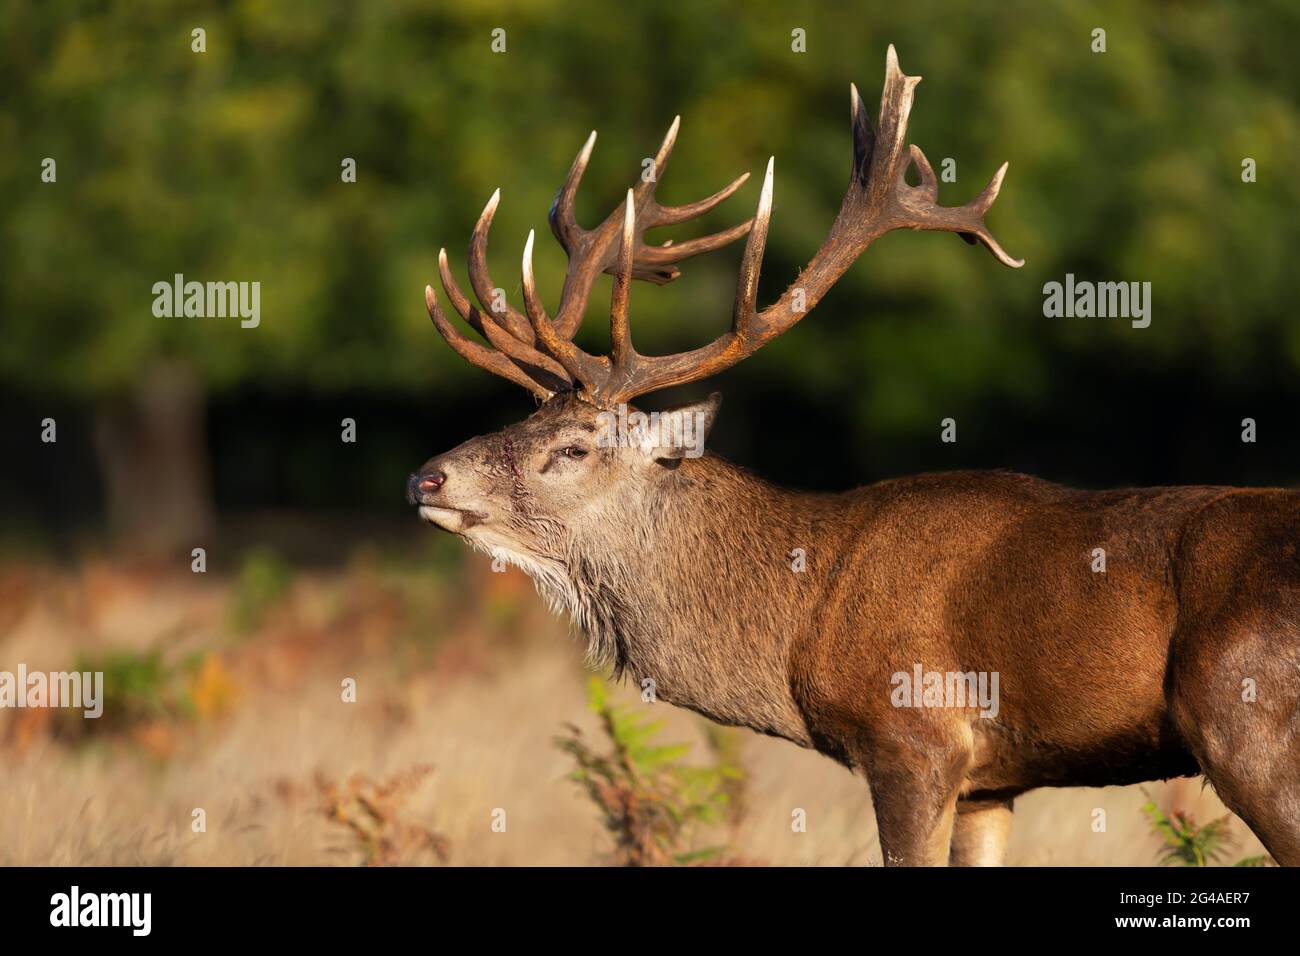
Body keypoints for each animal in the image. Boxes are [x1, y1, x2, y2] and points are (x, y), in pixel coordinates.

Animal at [409, 46, 1300, 866]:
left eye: (572, 446)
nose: (426, 476)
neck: (801, 622)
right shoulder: (992, 784)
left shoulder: (913, 736)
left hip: (1250, 728)